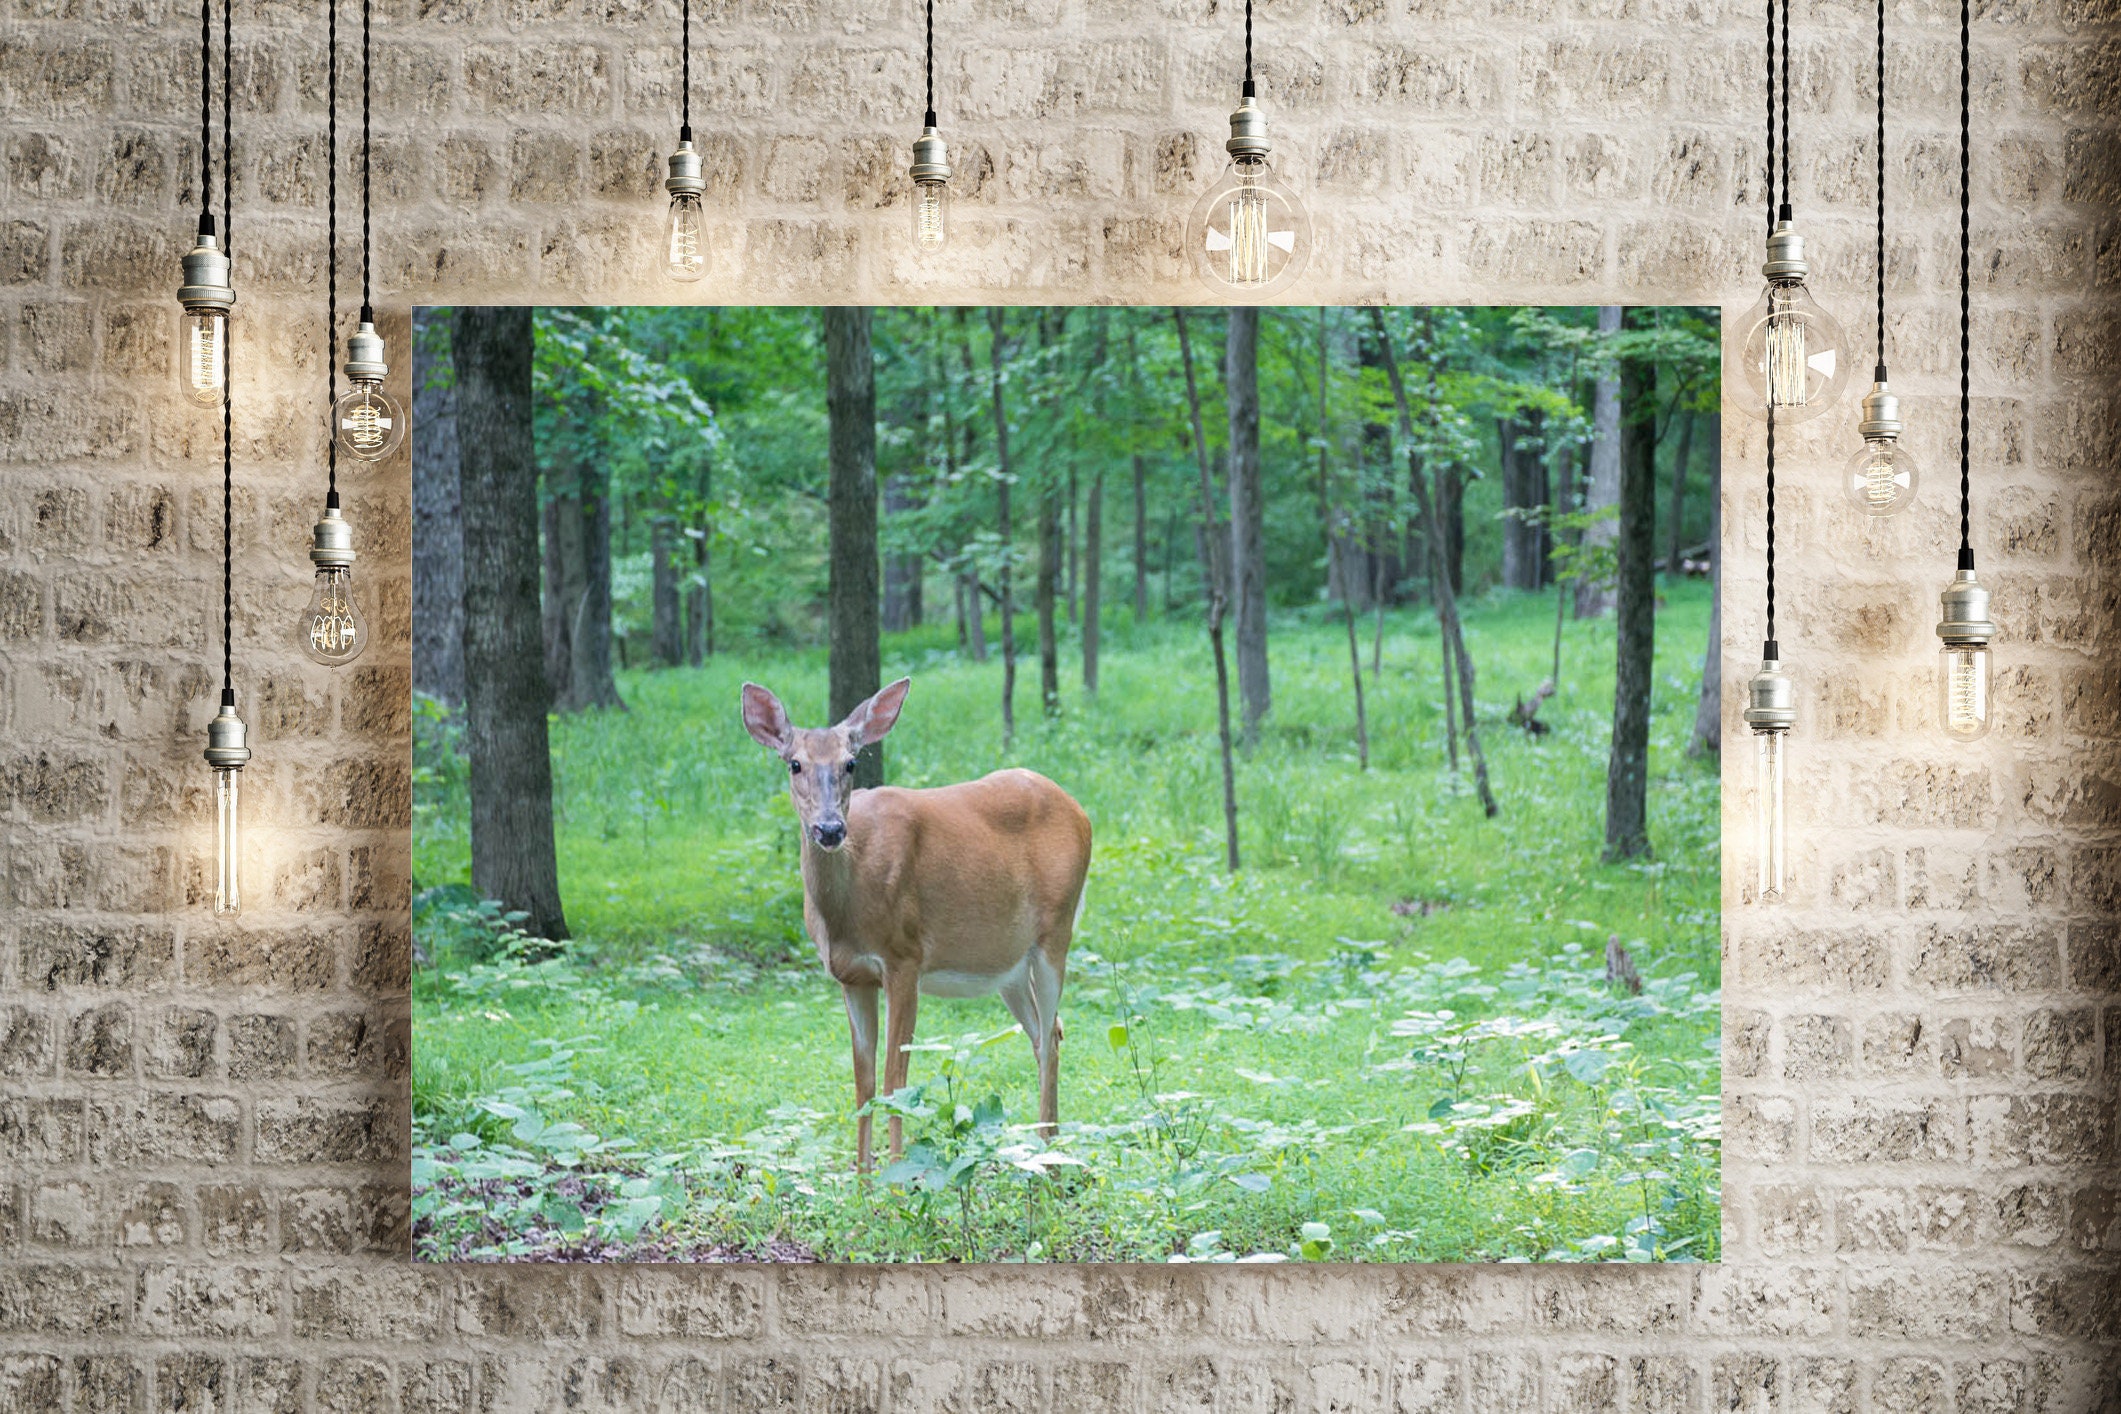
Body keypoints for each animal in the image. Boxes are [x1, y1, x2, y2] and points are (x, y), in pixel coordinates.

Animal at [739, 677, 1093, 1173]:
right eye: (795, 764)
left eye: (851, 763)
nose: (829, 829)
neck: (847, 912)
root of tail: (1080, 811)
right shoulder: (851, 977)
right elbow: (863, 1083)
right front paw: (862, 1180)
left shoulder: (904, 957)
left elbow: (895, 1082)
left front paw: (896, 1174)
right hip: (1008, 965)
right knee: (1048, 1032)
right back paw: (1047, 1151)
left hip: (1056, 933)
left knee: (1050, 1035)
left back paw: (1051, 1160)